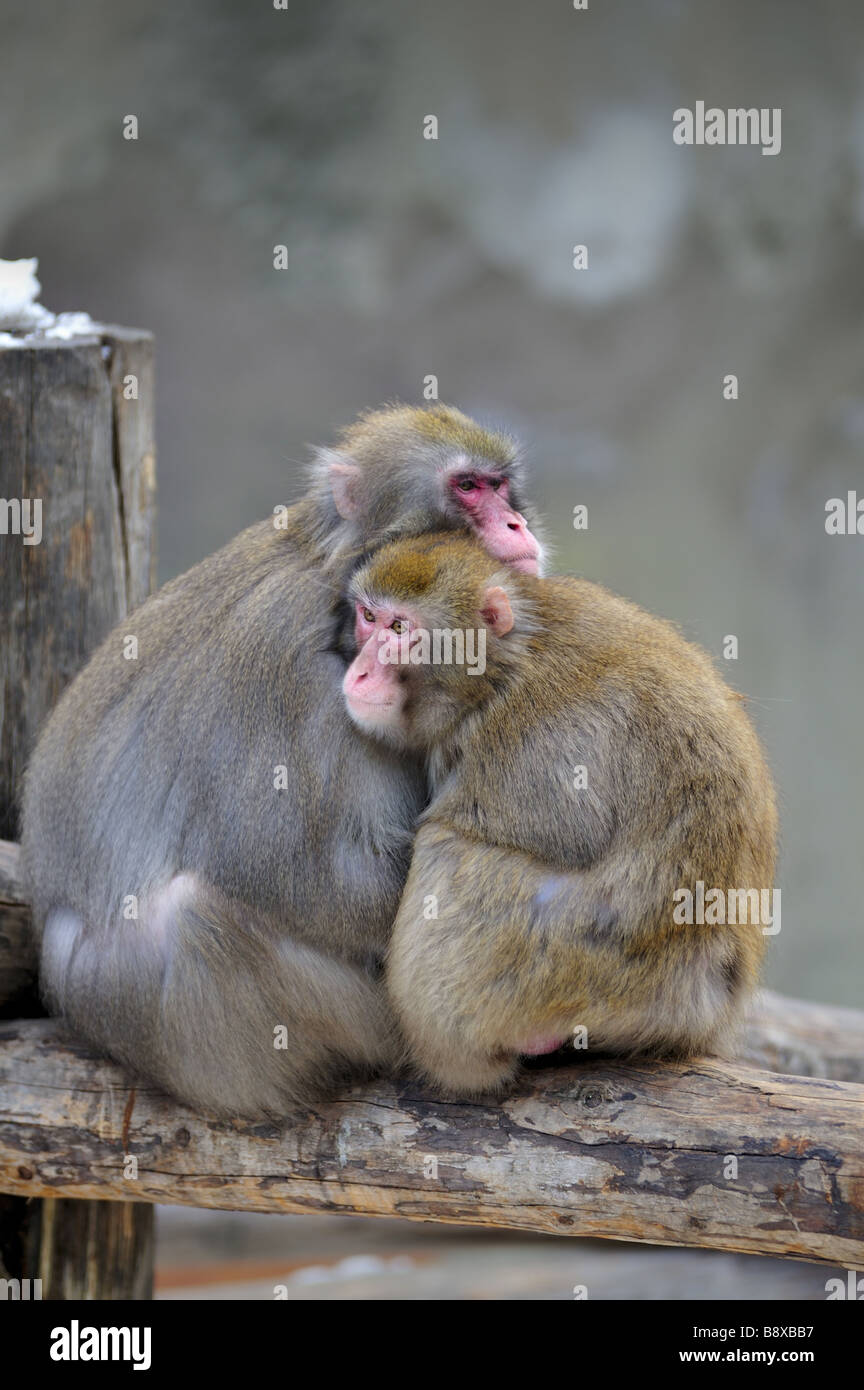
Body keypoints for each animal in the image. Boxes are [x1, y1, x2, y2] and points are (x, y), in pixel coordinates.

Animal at [20, 404, 543, 1117]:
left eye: (499, 485)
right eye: (467, 488)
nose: (518, 525)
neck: (334, 576)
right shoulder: (300, 676)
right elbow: (299, 871)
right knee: (192, 919)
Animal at [342, 531, 778, 1095]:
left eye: (399, 629)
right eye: (368, 617)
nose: (359, 671)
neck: (501, 667)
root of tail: (702, 999)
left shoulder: (525, 748)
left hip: (576, 970)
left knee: (446, 849)